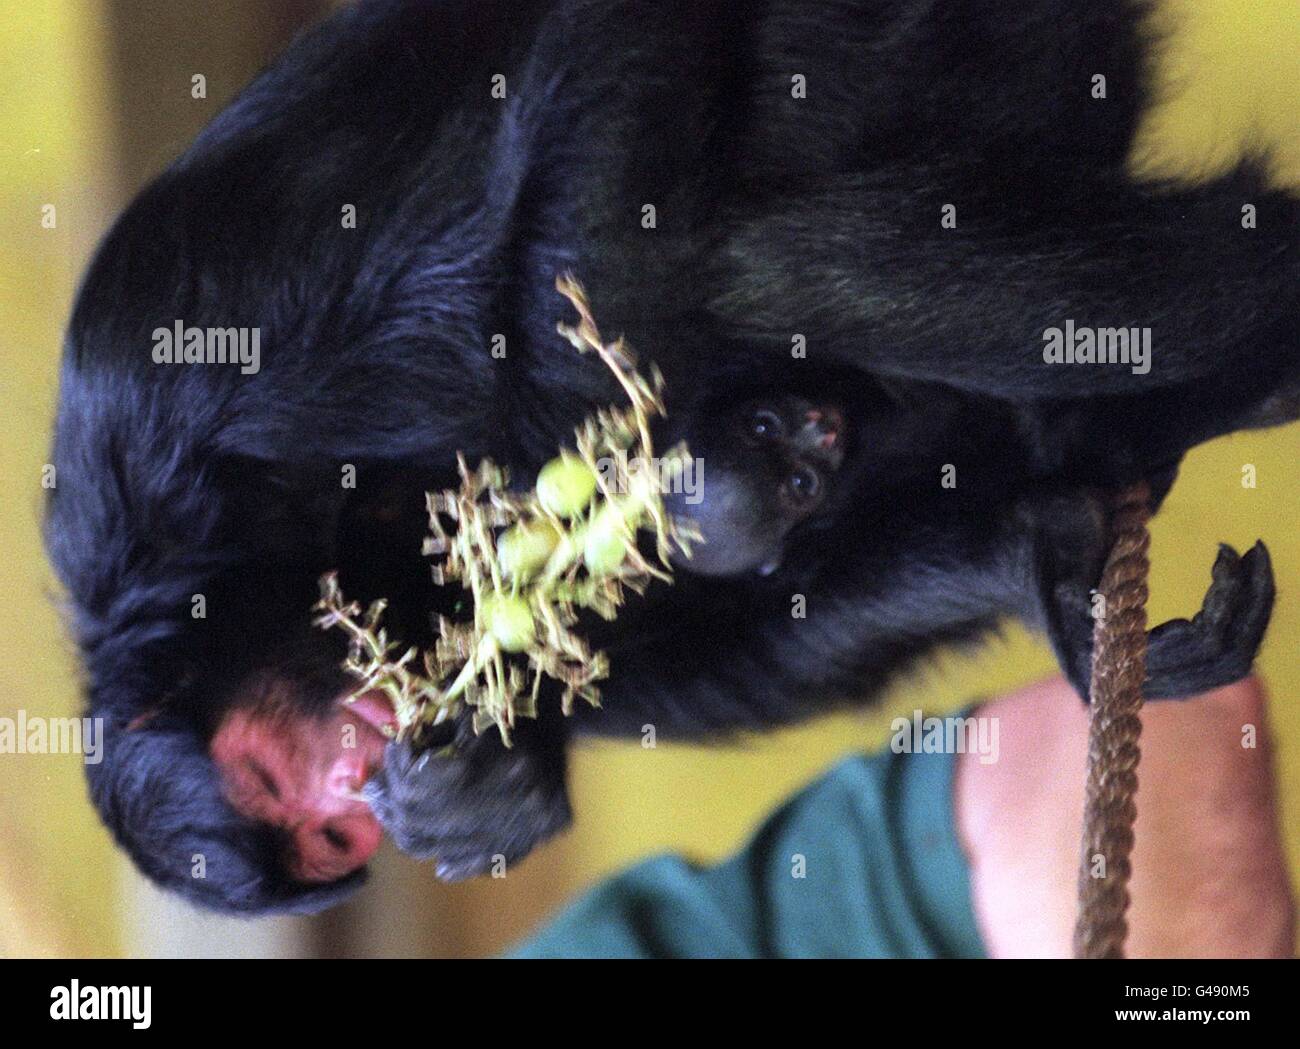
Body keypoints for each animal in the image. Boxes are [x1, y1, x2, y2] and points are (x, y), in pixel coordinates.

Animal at [44, 0, 1298, 911]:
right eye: (335, 825)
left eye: (319, 791)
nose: (364, 784)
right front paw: (1044, 557)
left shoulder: (200, 417)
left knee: (739, 262)